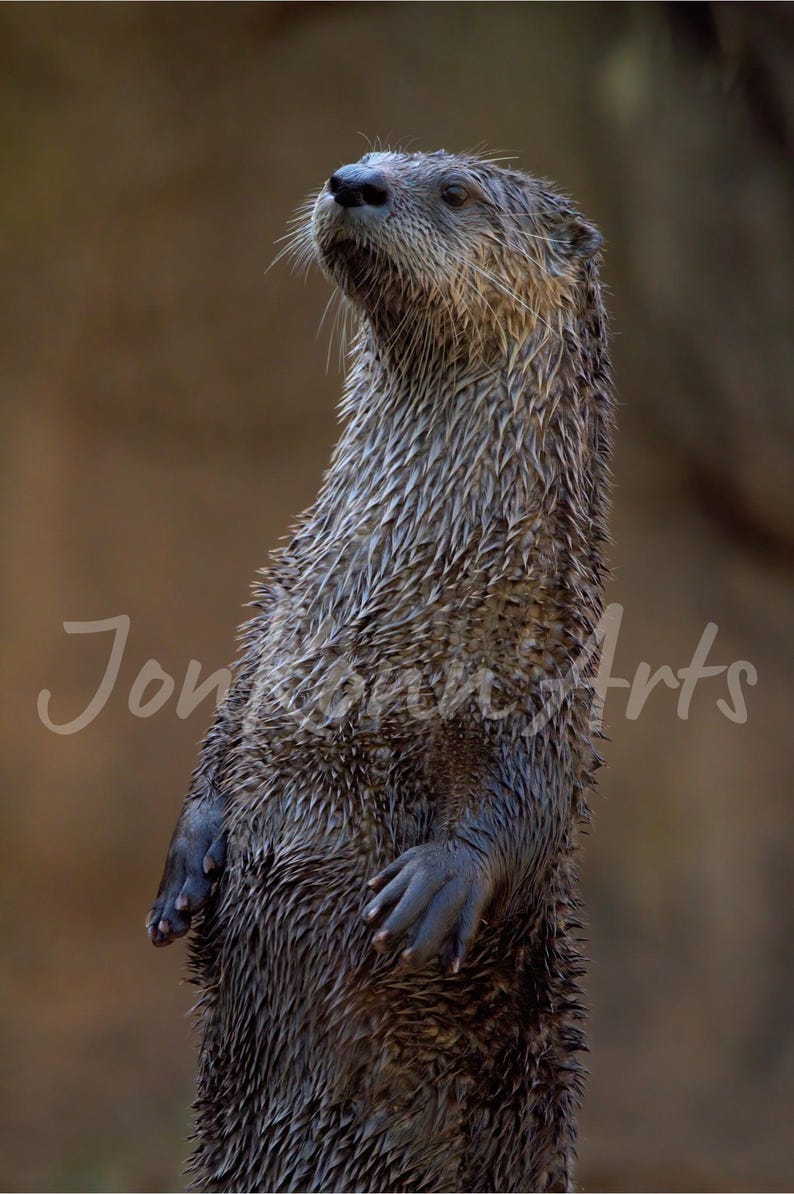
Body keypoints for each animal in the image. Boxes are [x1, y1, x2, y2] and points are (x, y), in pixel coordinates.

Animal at [147, 149, 614, 1193]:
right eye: (373, 157)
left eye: (455, 192)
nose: (353, 181)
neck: (395, 588)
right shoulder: (277, 611)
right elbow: (226, 723)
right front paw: (188, 866)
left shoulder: (547, 655)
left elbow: (532, 791)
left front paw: (440, 882)